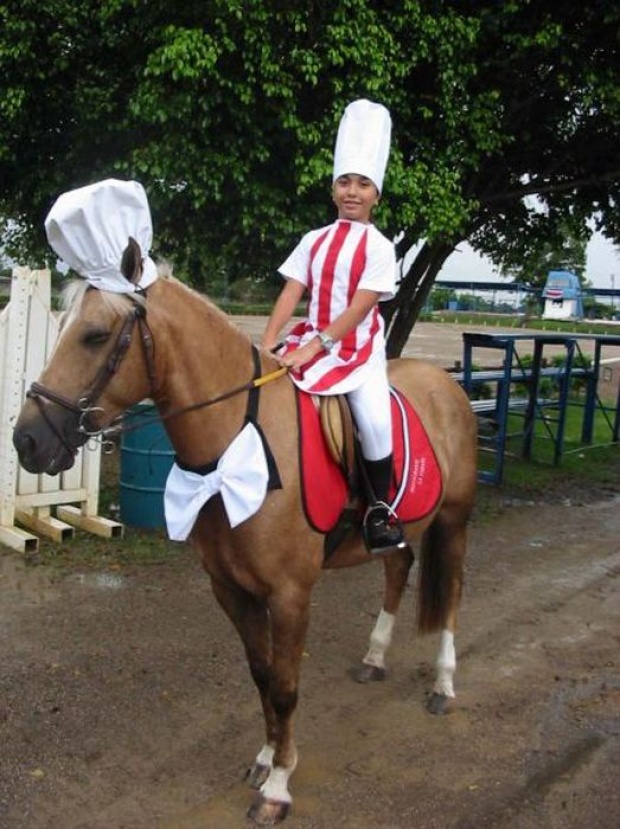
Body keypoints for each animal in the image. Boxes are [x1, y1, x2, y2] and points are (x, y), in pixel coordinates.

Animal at [13, 261, 478, 825]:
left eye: (95, 335)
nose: (26, 441)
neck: (238, 438)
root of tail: (445, 383)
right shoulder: (231, 589)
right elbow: (262, 677)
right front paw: (267, 757)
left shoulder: (290, 595)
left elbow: (286, 686)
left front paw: (278, 786)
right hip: (401, 530)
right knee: (397, 572)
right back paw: (374, 658)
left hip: (454, 520)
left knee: (450, 595)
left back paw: (444, 685)